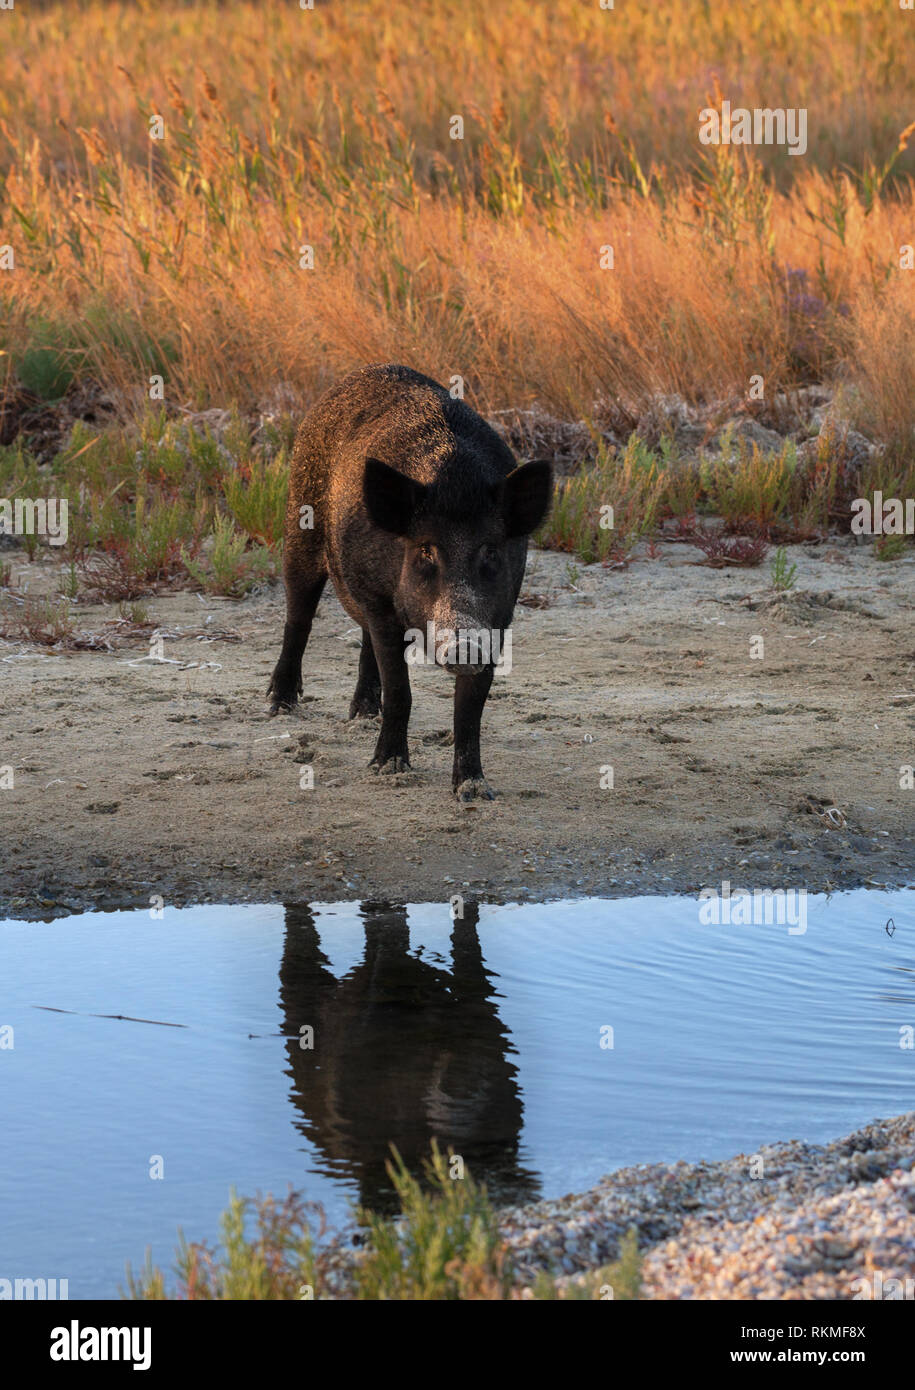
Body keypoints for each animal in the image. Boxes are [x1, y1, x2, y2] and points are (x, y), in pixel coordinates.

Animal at [268, 364, 552, 799]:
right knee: (298, 617)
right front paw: (387, 768)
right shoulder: (382, 604)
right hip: (299, 524)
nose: (464, 644)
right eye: (425, 551)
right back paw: (279, 706)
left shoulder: (498, 617)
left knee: (363, 640)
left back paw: (363, 714)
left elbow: (471, 707)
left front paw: (474, 790)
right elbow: (401, 689)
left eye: (490, 551)